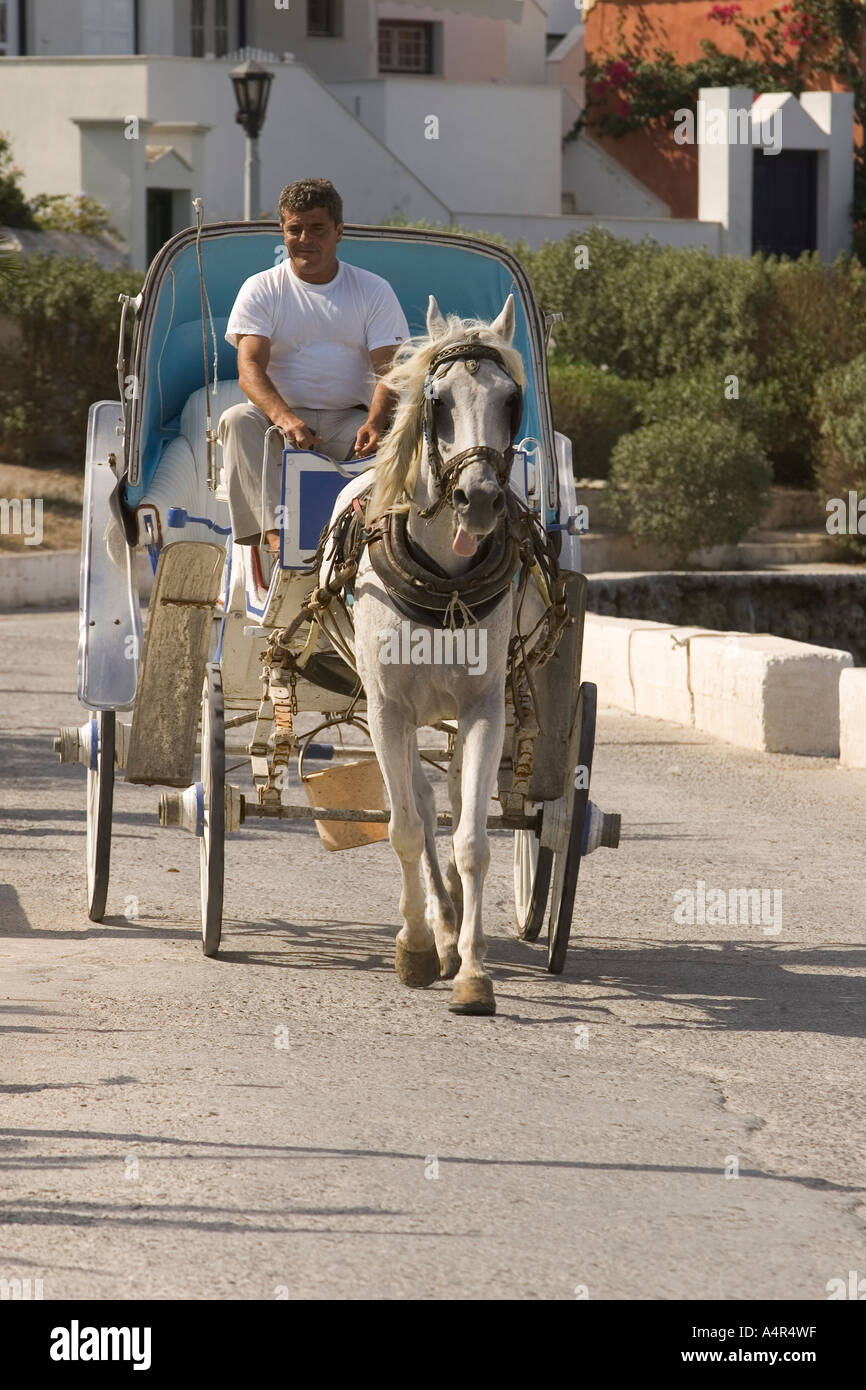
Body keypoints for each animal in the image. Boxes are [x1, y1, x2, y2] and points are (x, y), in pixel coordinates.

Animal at [319, 293, 551, 1016]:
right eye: (439, 402)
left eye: (512, 400)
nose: (478, 500)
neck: (445, 579)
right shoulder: (388, 709)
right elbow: (405, 828)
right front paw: (418, 948)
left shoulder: (483, 709)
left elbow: (472, 838)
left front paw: (473, 970)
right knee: (418, 807)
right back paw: (436, 928)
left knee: (442, 798)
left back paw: (453, 928)